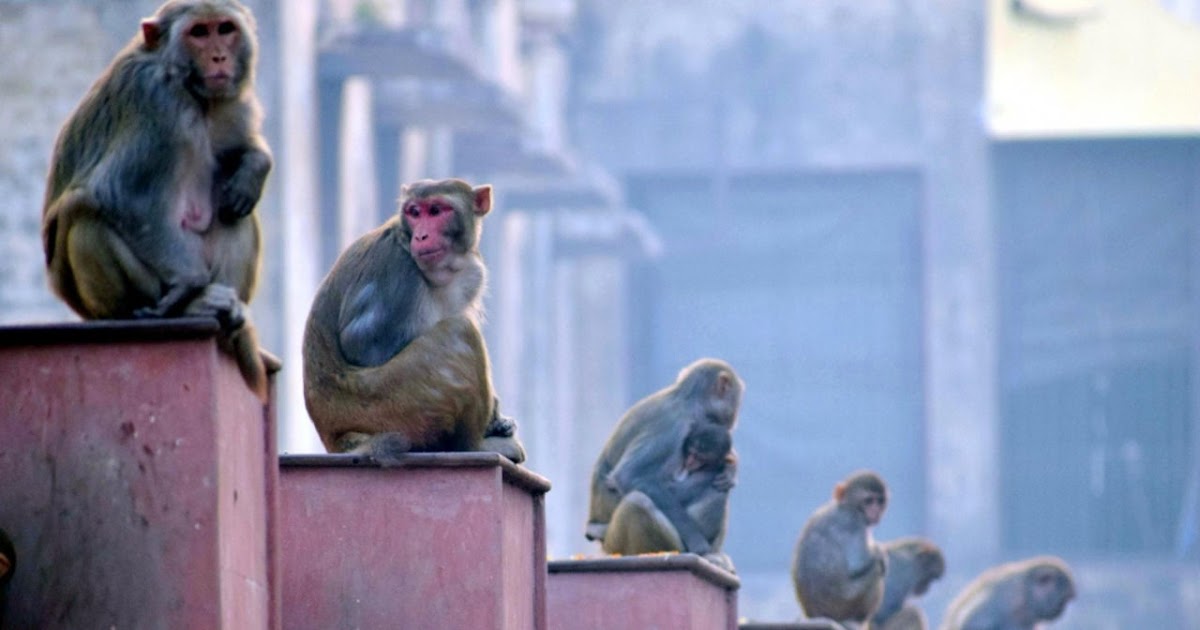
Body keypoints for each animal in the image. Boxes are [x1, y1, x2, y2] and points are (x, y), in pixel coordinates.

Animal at [40, 0, 271, 399]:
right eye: (199, 33)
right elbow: (122, 194)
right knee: (83, 215)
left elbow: (242, 153)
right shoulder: (153, 98)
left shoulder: (231, 102)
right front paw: (188, 285)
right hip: (136, 289)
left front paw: (253, 169)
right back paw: (186, 306)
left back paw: (230, 311)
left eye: (225, 29)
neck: (193, 94)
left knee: (237, 212)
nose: (218, 56)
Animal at [302, 178, 526, 465]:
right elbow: (362, 345)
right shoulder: (395, 268)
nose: (421, 236)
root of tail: (333, 437)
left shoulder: (471, 275)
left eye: (436, 210)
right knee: (460, 332)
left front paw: (499, 417)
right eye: (415, 212)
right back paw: (476, 445)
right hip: (391, 404)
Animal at [586, 358, 744, 567]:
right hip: (617, 543)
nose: (734, 418)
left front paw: (731, 465)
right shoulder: (673, 427)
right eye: (735, 400)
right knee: (638, 503)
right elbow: (629, 475)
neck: (686, 399)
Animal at [792, 470, 890, 627]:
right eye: (868, 501)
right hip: (845, 601)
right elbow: (857, 565)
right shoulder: (854, 523)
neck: (846, 506)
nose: (875, 511)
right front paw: (880, 551)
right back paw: (857, 620)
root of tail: (815, 614)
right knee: (876, 569)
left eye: (879, 501)